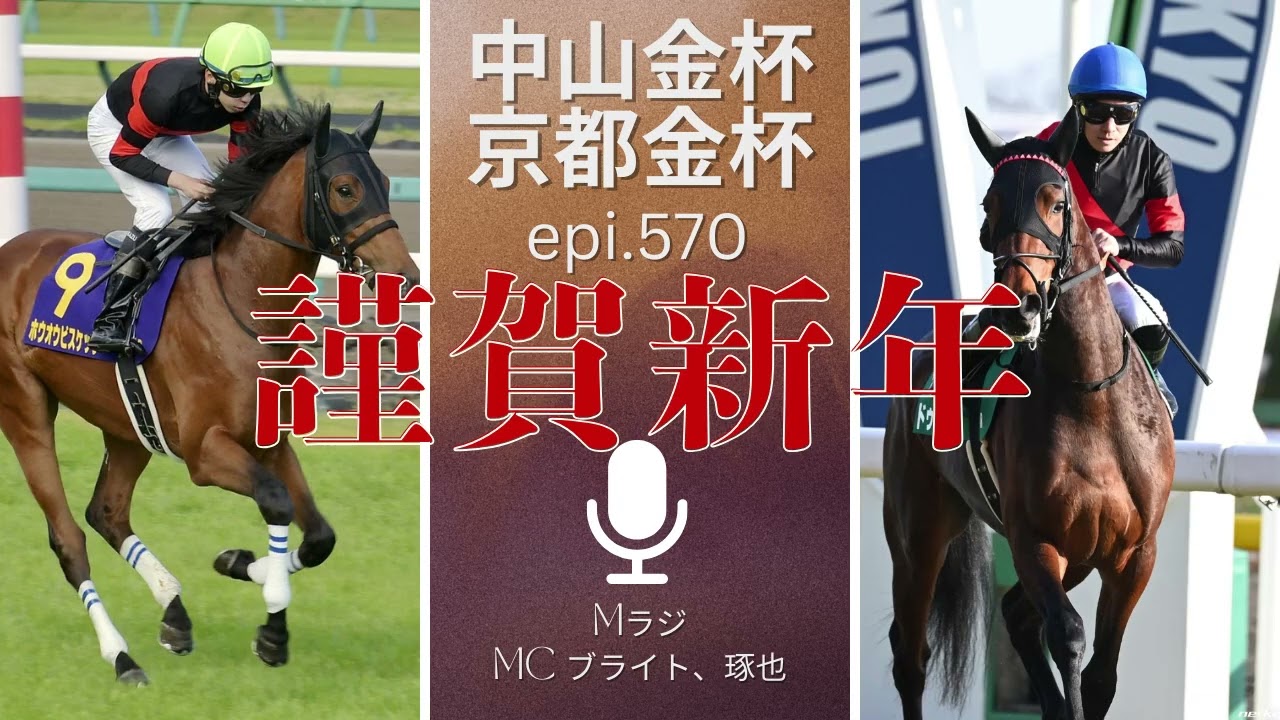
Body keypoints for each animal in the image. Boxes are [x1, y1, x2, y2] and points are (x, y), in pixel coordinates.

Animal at [0, 99, 420, 685]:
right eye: (344, 188)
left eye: (382, 181)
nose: (405, 275)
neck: (242, 300)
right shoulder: (205, 450)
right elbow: (275, 501)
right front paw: (272, 625)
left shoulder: (269, 441)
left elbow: (318, 537)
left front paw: (241, 567)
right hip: (25, 409)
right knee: (68, 538)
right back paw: (122, 657)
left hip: (128, 423)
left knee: (106, 512)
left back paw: (174, 612)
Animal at [878, 106, 1176, 720]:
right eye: (989, 207)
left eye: (1056, 203)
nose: (1018, 308)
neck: (1090, 395)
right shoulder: (1034, 538)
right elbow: (1068, 636)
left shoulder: (1133, 552)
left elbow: (1102, 675)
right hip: (917, 531)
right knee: (911, 653)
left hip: (1082, 550)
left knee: (1014, 614)